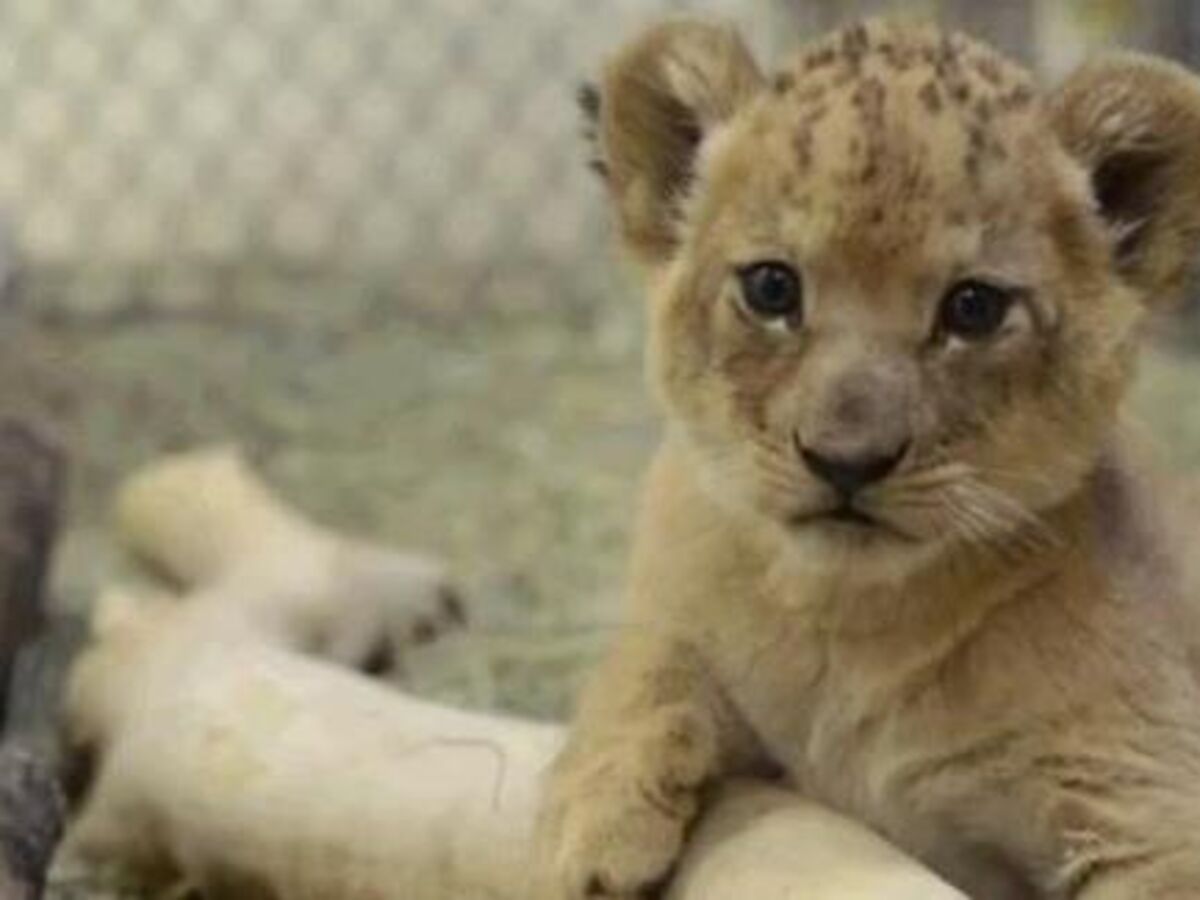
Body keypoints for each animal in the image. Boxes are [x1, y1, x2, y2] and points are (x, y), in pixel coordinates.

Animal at [534, 17, 1200, 900]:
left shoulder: (1143, 801)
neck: (848, 623)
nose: (846, 461)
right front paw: (589, 831)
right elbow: (642, 663)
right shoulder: (684, 582)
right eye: (772, 288)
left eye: (973, 308)